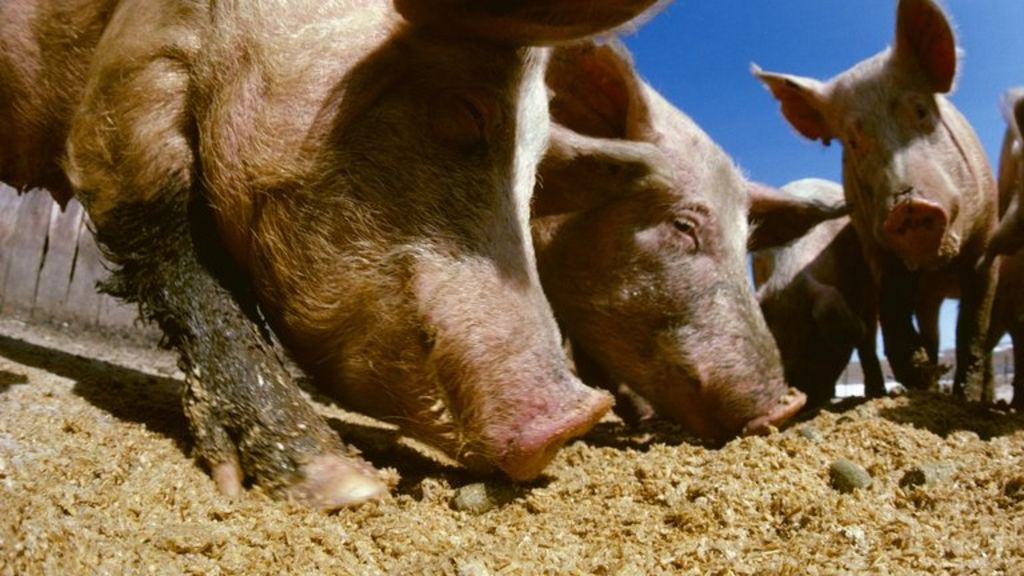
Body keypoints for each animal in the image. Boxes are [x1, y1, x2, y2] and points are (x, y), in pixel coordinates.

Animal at [0, 0, 666, 509]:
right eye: (468, 112)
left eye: (535, 170)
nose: (582, 415)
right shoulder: (131, 76)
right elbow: (168, 232)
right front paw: (347, 488)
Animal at [752, 179, 886, 407]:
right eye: (775, 344)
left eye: (813, 338)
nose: (803, 400)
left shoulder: (868, 287)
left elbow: (867, 340)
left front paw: (876, 394)